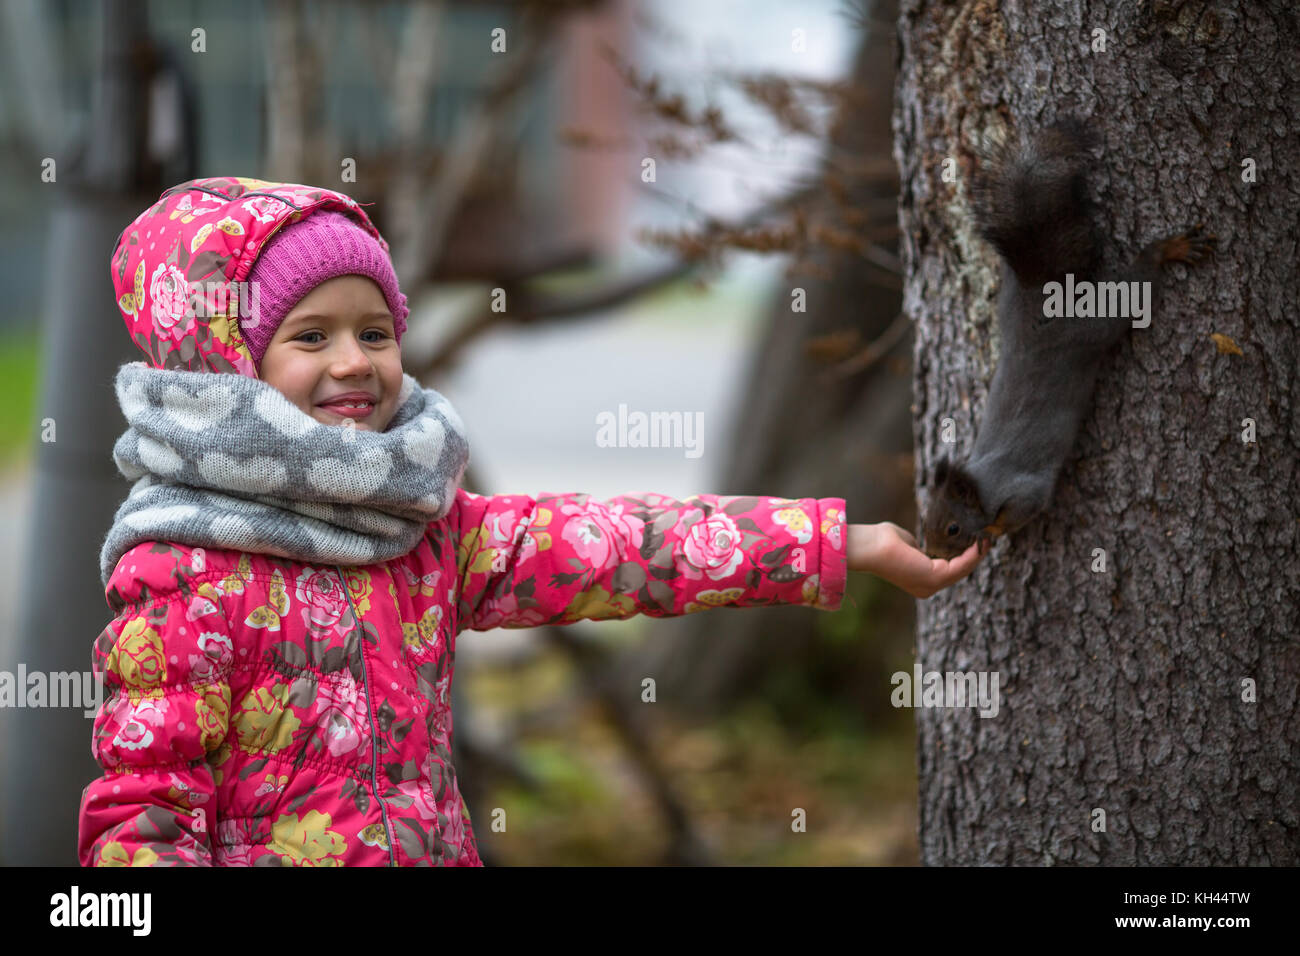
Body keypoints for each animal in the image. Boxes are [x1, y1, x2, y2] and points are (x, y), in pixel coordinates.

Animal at [921, 117, 1216, 559]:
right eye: (925, 522)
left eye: (953, 528)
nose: (931, 555)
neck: (982, 482)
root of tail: (1042, 291)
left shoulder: (1024, 489)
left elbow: (1022, 509)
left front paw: (992, 533)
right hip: (1010, 302)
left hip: (1091, 327)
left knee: (1133, 291)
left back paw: (1165, 251)